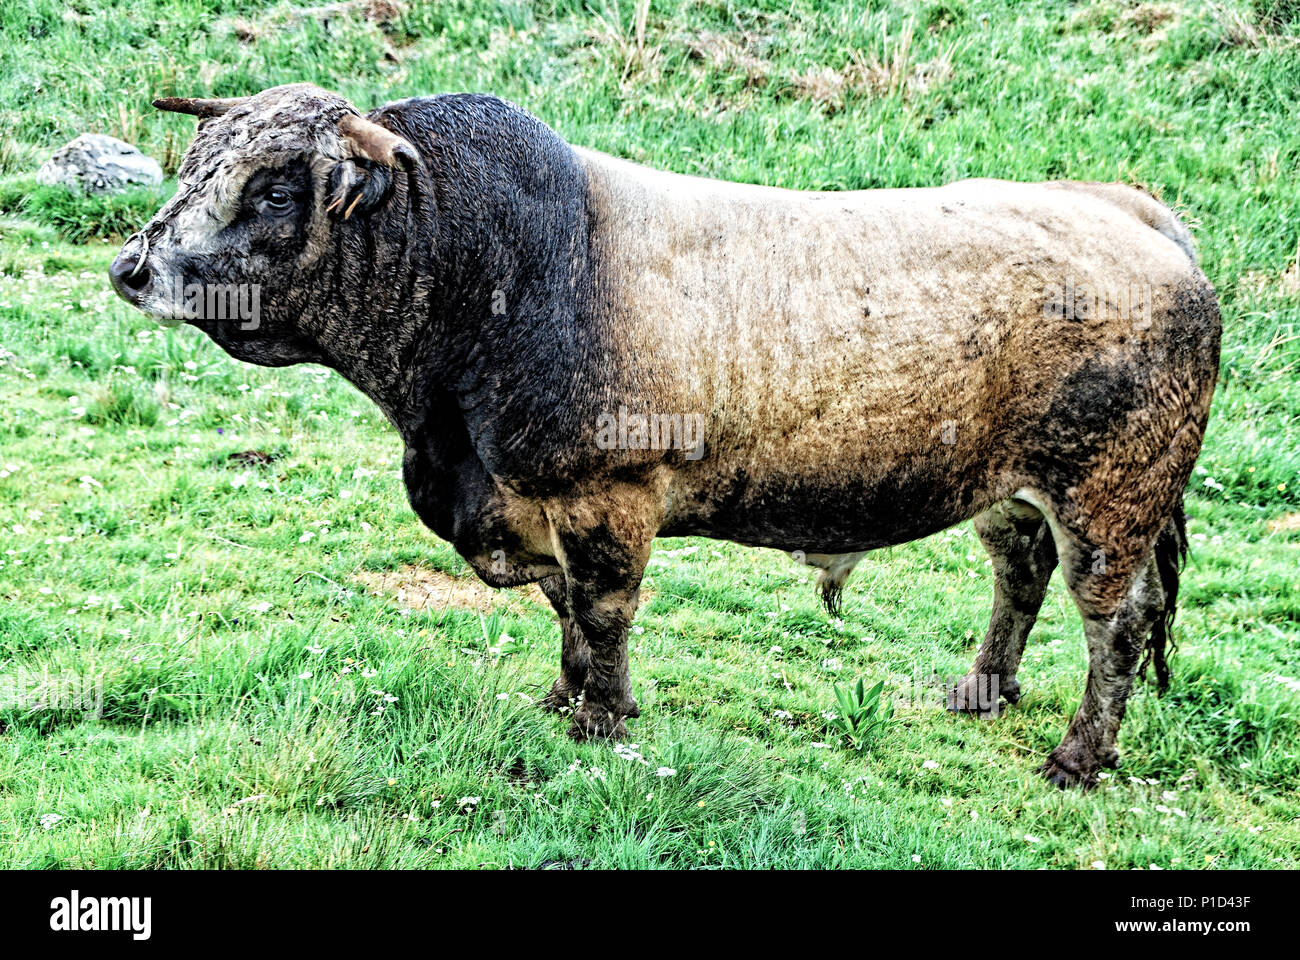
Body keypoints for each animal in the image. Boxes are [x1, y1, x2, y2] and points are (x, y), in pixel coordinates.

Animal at [110, 83, 1221, 787]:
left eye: (273, 187)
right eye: (193, 167)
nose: (132, 266)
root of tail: (1128, 208)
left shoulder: (609, 498)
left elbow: (602, 612)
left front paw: (600, 717)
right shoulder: (530, 504)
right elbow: (564, 611)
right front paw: (563, 698)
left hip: (1110, 500)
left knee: (1116, 623)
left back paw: (1080, 755)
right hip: (1009, 488)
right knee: (1018, 573)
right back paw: (983, 690)